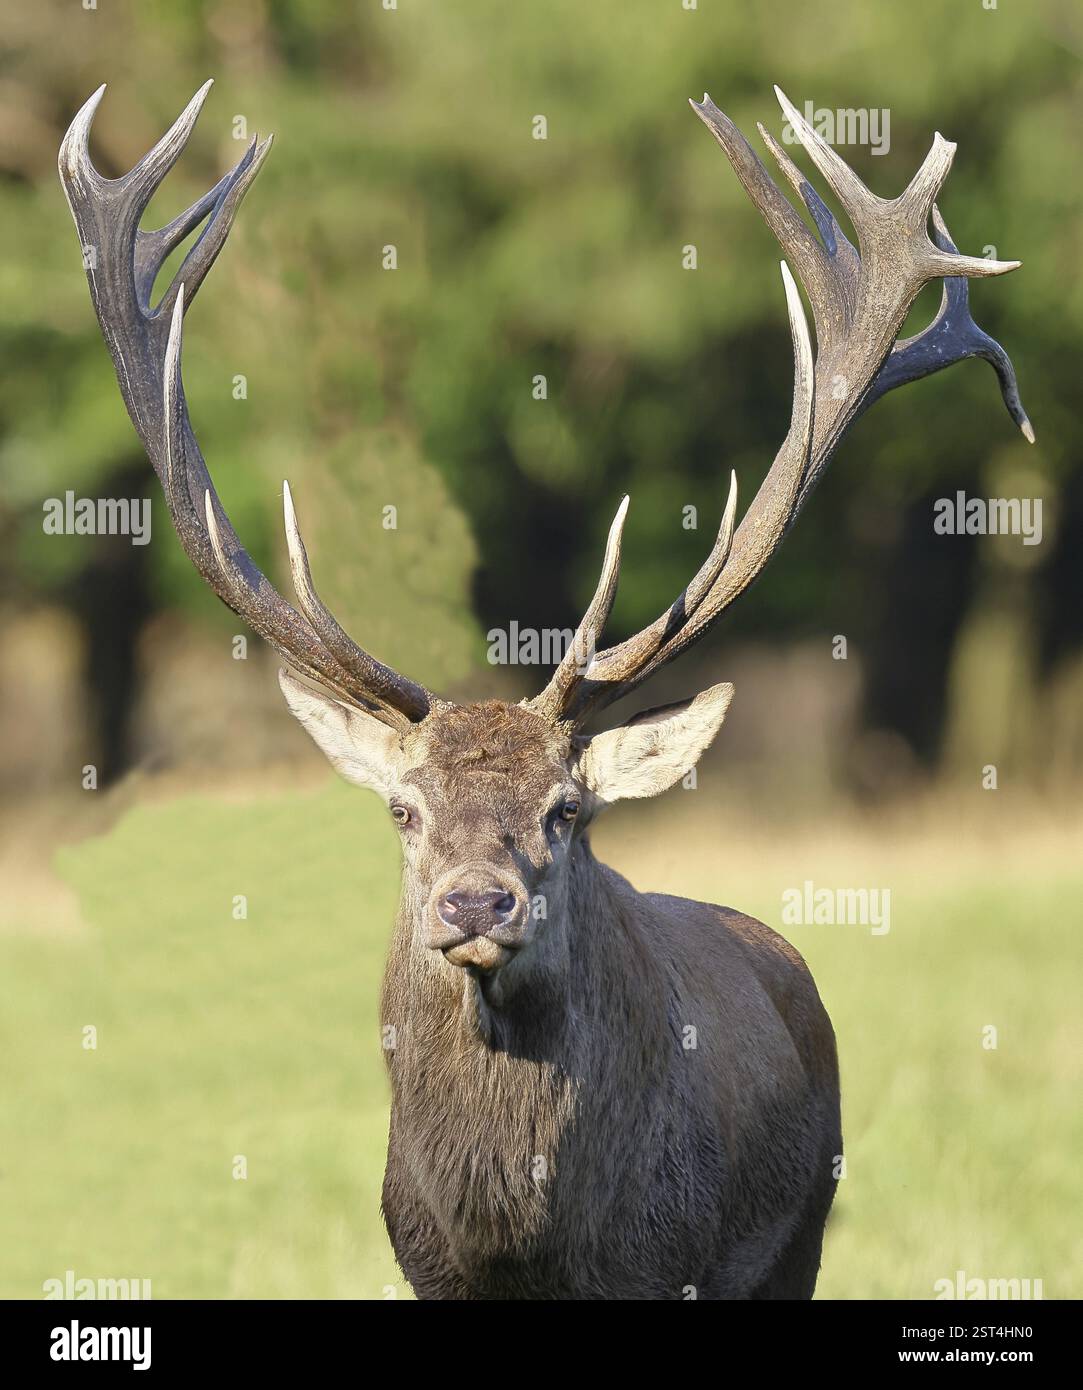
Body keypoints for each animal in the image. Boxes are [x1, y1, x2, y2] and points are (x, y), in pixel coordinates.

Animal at [60, 81, 1030, 1300]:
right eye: (402, 808)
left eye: (567, 811)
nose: (476, 904)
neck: (516, 1241)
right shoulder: (420, 1268)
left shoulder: (670, 1265)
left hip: (799, 1238)